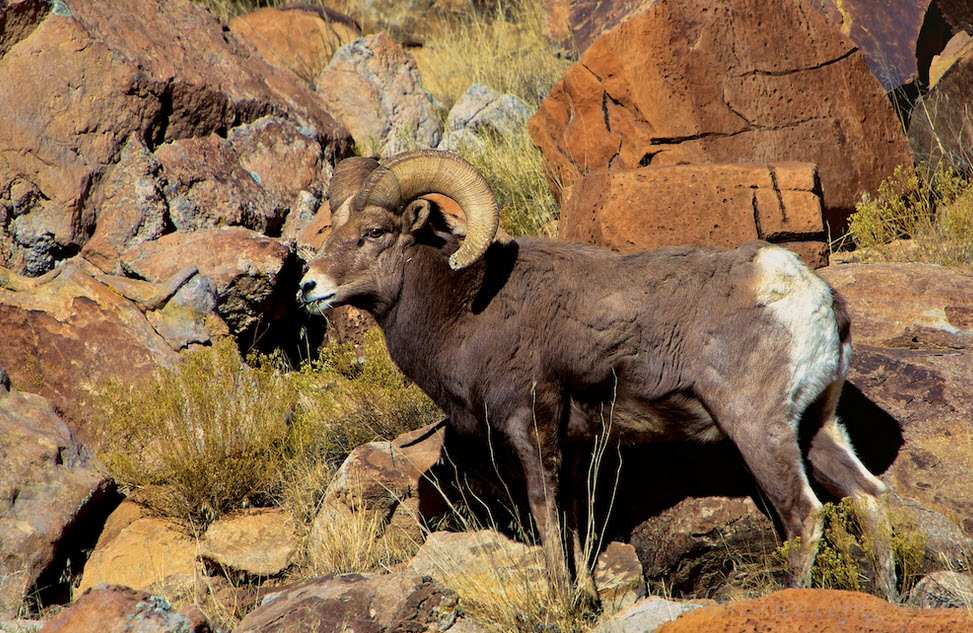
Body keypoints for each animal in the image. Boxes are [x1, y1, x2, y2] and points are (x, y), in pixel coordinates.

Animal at [298, 149, 894, 603]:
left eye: (374, 232)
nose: (308, 287)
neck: (464, 309)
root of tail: (812, 295)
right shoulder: (577, 444)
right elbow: (575, 517)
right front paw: (585, 594)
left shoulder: (530, 421)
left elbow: (544, 509)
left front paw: (563, 599)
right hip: (817, 428)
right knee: (870, 499)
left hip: (758, 431)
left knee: (803, 515)